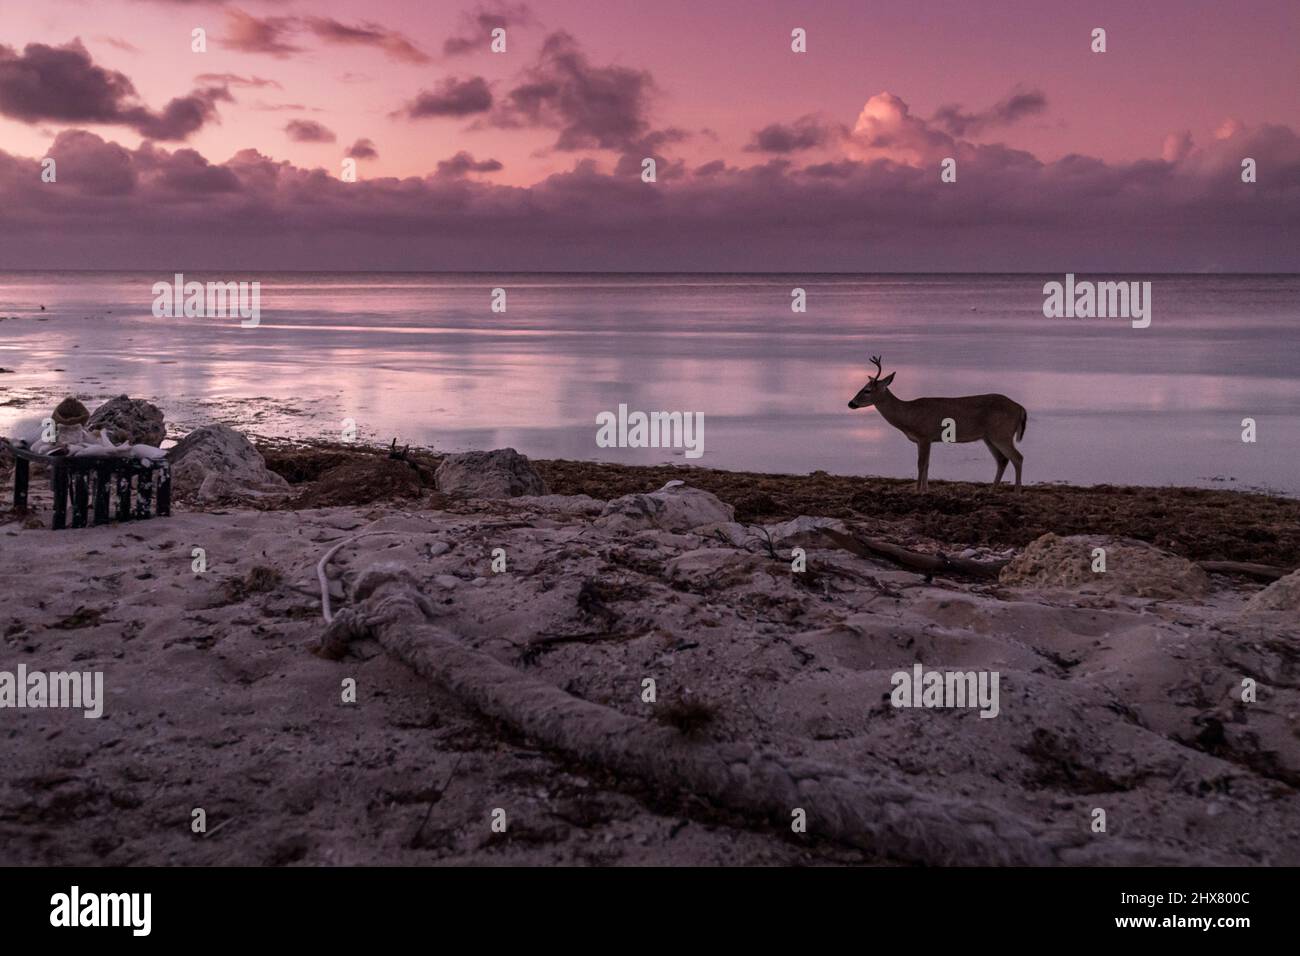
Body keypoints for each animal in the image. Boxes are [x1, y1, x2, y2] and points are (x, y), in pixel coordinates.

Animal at [847, 356, 1027, 492]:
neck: (908, 415)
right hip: (989, 437)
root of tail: (1020, 408)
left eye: (867, 390)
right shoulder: (924, 440)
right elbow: (927, 464)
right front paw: (925, 489)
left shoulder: (924, 435)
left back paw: (1017, 492)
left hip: (1001, 433)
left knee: (1017, 457)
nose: (851, 403)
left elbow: (921, 464)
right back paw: (992, 490)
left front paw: (917, 490)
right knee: (1002, 460)